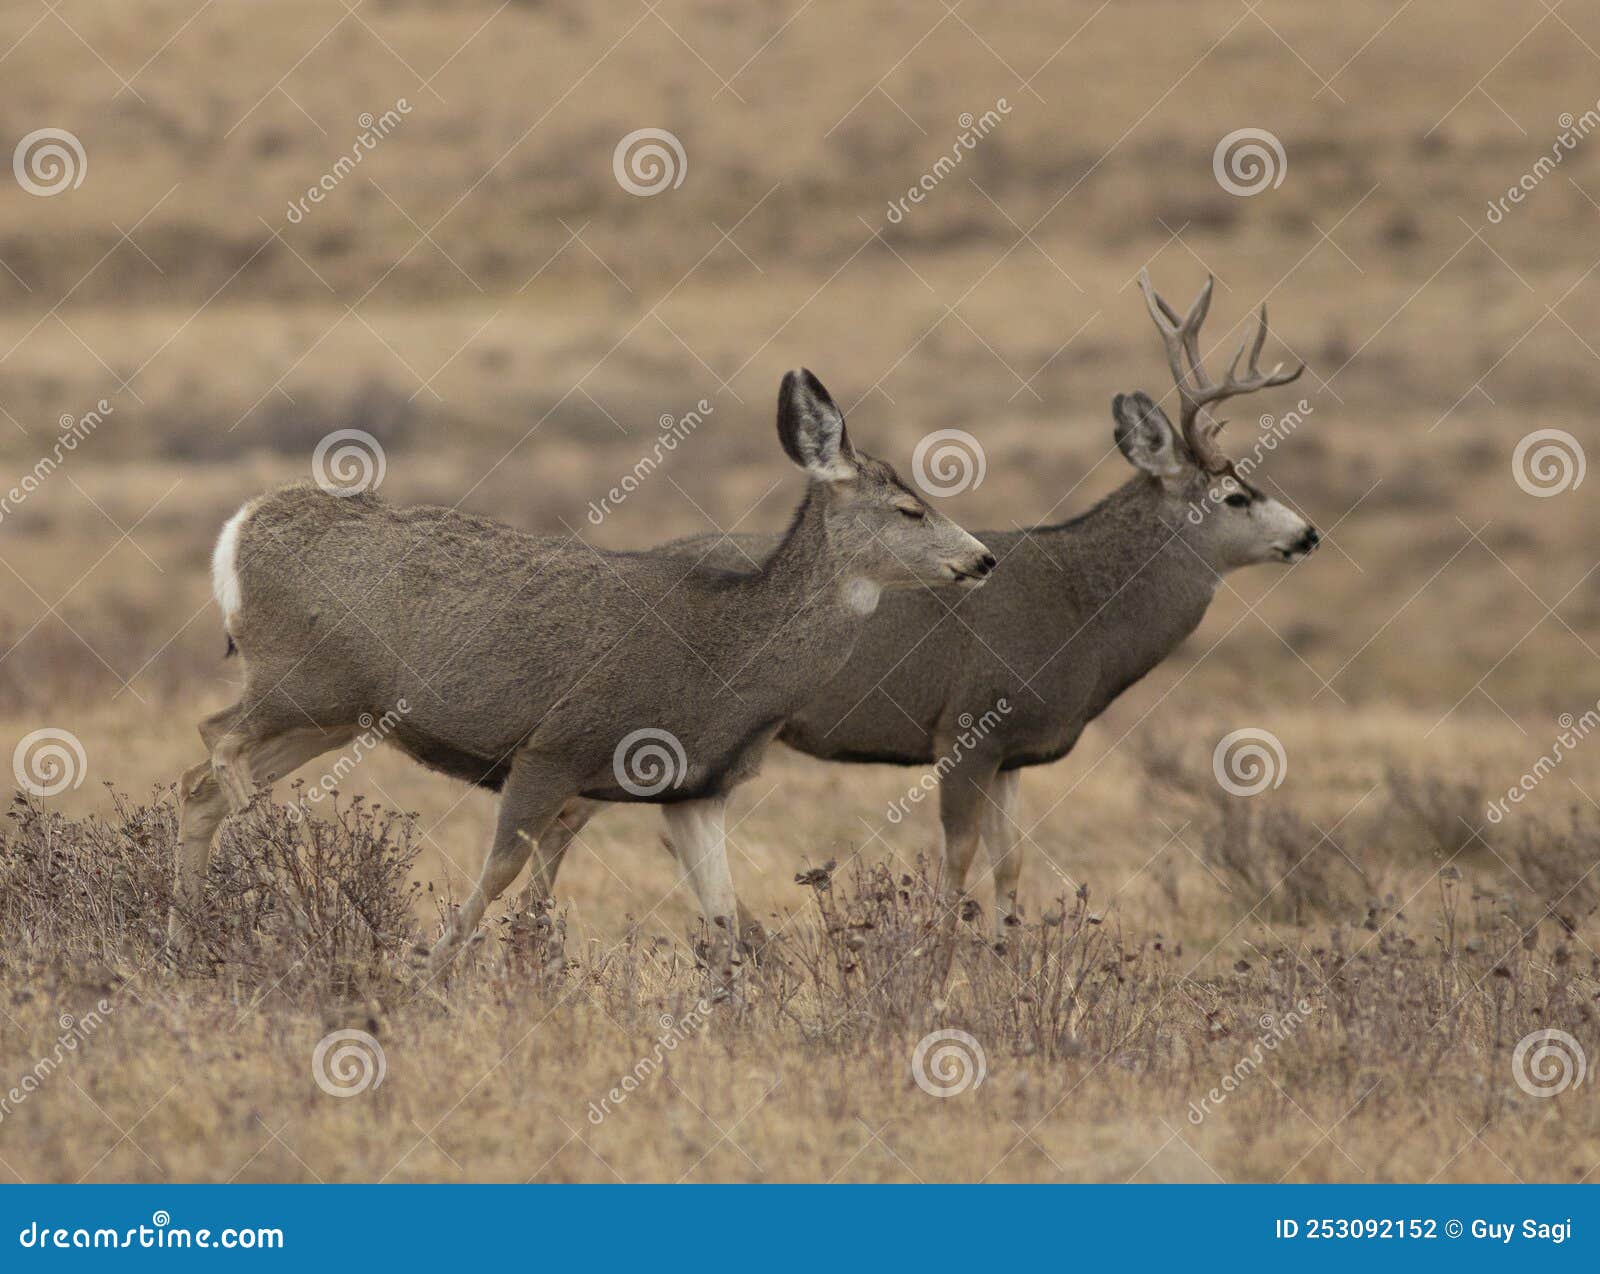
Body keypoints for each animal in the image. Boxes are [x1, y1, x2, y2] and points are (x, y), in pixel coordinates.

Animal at [168, 369, 995, 975]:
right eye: (909, 509)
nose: (983, 558)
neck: (728, 659)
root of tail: (237, 530)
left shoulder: (694, 789)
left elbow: (725, 914)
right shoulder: (557, 745)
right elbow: (496, 879)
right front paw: (428, 971)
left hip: (332, 714)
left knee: (199, 781)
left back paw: (194, 935)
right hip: (300, 681)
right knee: (216, 741)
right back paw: (266, 875)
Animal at [531, 273, 1320, 937]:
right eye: (1237, 496)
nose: (1309, 534)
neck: (1083, 609)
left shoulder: (1013, 753)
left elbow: (1011, 862)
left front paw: (1008, 955)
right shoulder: (968, 724)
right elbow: (958, 858)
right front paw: (945, 960)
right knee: (565, 819)